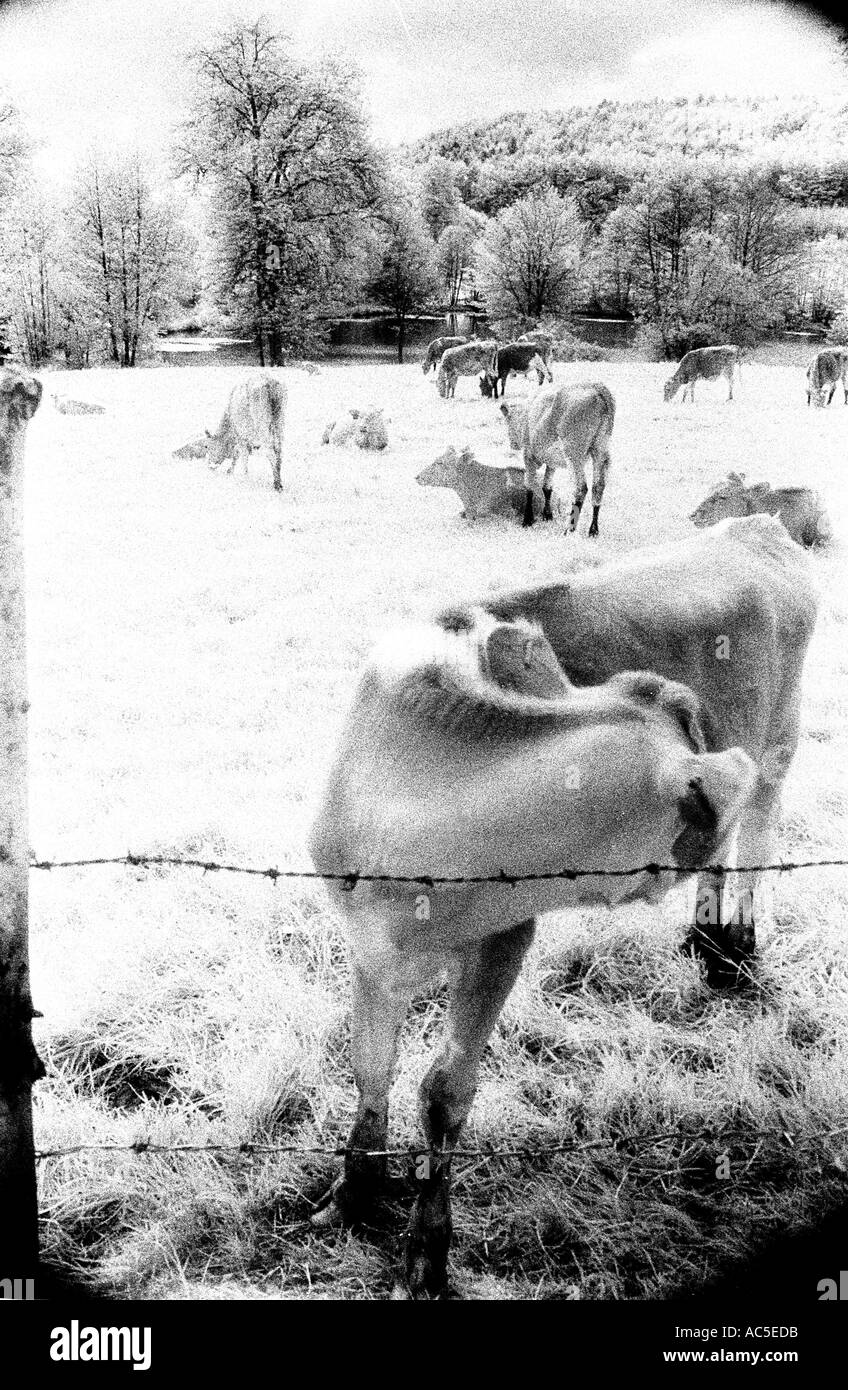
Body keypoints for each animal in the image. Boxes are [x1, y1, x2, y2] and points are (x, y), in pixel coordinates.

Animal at [308, 513, 818, 1297]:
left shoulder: (506, 938)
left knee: (759, 832)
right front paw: (354, 1194)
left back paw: (736, 946)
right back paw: (704, 940)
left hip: (780, 742)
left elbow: (444, 1093)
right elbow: (370, 1066)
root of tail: (752, 526)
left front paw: (426, 1249)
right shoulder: (366, 947)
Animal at [499, 381, 614, 534]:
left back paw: (569, 529)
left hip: (574, 454)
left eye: (508, 420)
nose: (513, 444)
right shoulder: (551, 462)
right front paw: (547, 515)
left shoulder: (528, 455)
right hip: (601, 450)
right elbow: (547, 487)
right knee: (598, 486)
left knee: (581, 488)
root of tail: (596, 388)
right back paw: (593, 530)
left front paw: (527, 520)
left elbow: (529, 486)